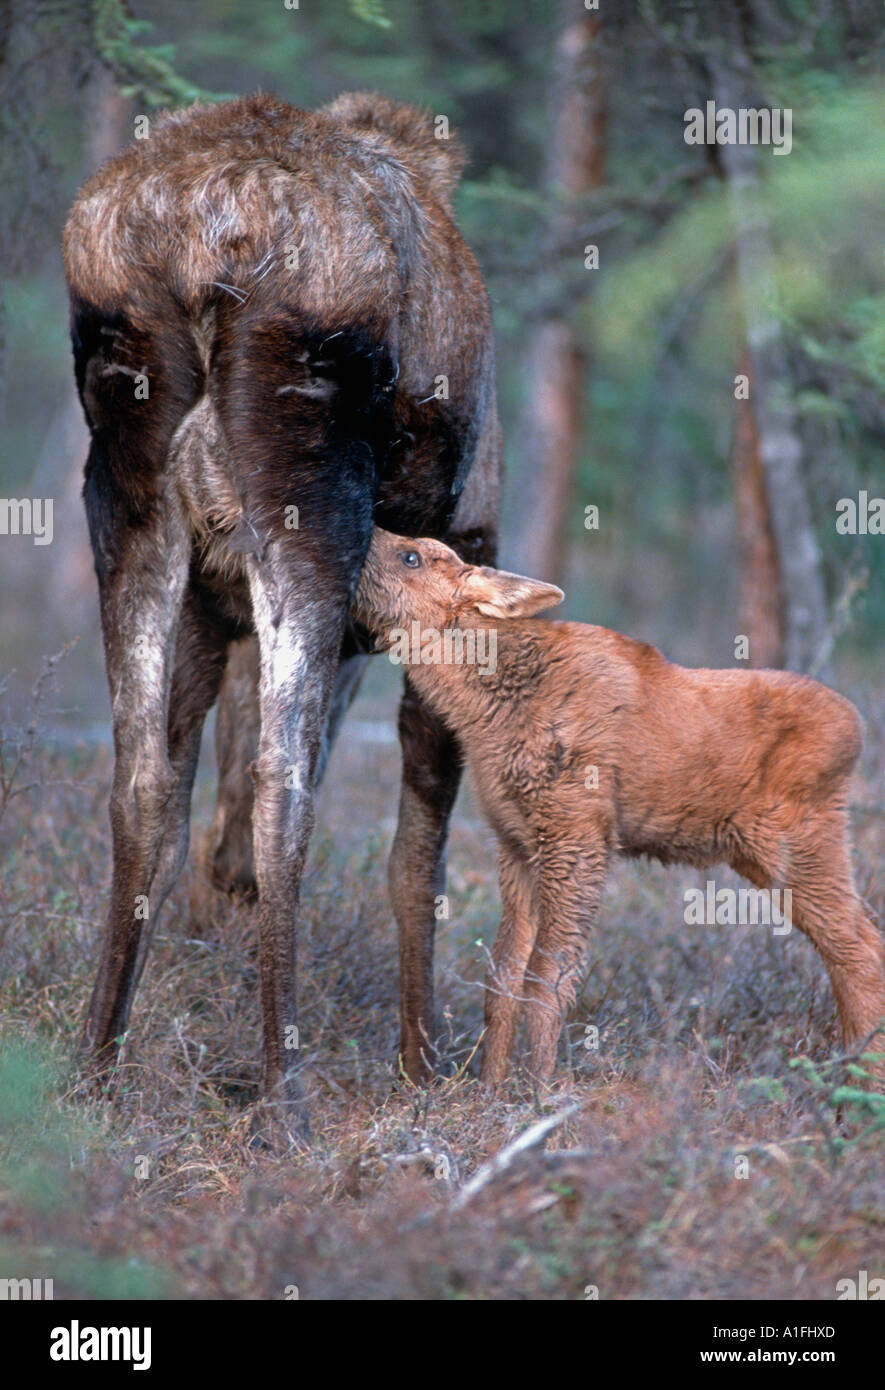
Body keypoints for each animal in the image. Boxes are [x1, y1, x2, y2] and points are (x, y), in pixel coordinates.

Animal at [62, 93, 501, 1145]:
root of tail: (196, 232)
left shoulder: (209, 614)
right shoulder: (455, 556)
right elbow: (415, 859)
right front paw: (424, 1064)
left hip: (130, 503)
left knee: (142, 784)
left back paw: (95, 1064)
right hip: (310, 505)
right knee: (282, 794)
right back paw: (284, 1096)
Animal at [353, 528, 885, 1086]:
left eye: (411, 556)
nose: (368, 530)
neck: (489, 710)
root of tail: (858, 727)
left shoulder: (577, 836)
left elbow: (547, 977)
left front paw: (538, 1089)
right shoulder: (516, 843)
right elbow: (503, 974)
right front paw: (490, 1086)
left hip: (796, 842)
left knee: (860, 947)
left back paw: (863, 1080)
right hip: (764, 855)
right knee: (858, 939)